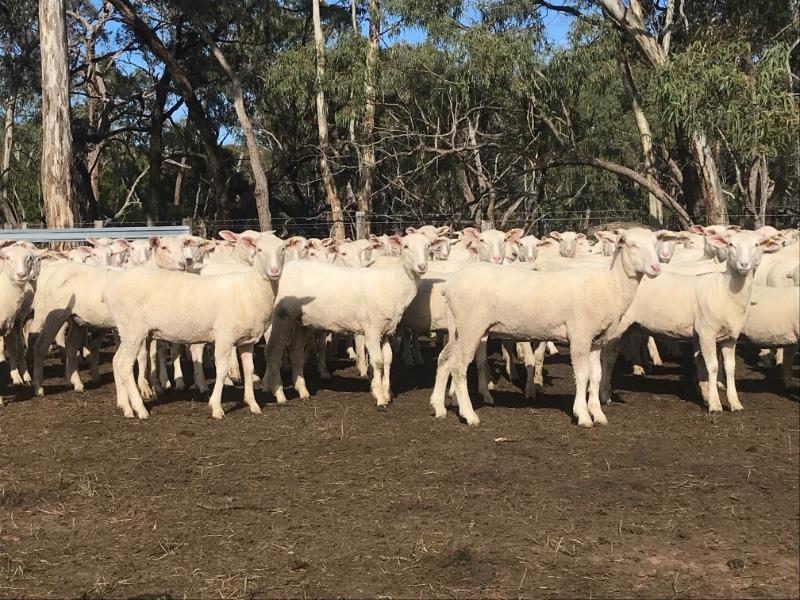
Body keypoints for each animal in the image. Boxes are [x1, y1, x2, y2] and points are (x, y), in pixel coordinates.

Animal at [102, 231, 289, 419]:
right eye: (259, 250)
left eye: (282, 249)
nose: (274, 271)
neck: (249, 289)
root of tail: (111, 289)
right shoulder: (224, 337)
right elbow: (221, 371)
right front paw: (216, 407)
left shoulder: (247, 341)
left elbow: (249, 370)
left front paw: (253, 404)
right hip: (133, 330)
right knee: (124, 366)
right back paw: (140, 409)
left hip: (127, 332)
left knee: (117, 361)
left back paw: (126, 407)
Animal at [265, 233, 431, 407]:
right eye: (406, 246)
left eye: (428, 246)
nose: (421, 266)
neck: (392, 283)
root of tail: (287, 266)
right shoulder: (372, 330)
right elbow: (378, 362)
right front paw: (380, 397)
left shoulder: (387, 330)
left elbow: (388, 360)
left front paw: (387, 393)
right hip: (281, 316)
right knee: (273, 351)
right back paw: (279, 394)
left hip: (301, 320)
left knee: (295, 350)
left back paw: (303, 391)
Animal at [430, 227, 662, 427]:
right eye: (632, 245)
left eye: (655, 244)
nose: (656, 268)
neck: (609, 285)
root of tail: (450, 284)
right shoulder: (580, 335)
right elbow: (582, 375)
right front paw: (583, 415)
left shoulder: (597, 340)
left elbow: (596, 376)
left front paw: (598, 413)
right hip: (471, 327)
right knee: (458, 368)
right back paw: (469, 415)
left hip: (458, 328)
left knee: (444, 360)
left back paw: (439, 407)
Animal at [600, 229, 782, 413]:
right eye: (731, 244)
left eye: (756, 245)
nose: (744, 264)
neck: (724, 290)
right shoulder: (706, 333)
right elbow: (713, 366)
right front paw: (715, 404)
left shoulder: (730, 337)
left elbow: (730, 368)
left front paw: (734, 403)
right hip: (617, 326)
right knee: (606, 356)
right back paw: (605, 395)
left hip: (629, 326)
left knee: (614, 353)